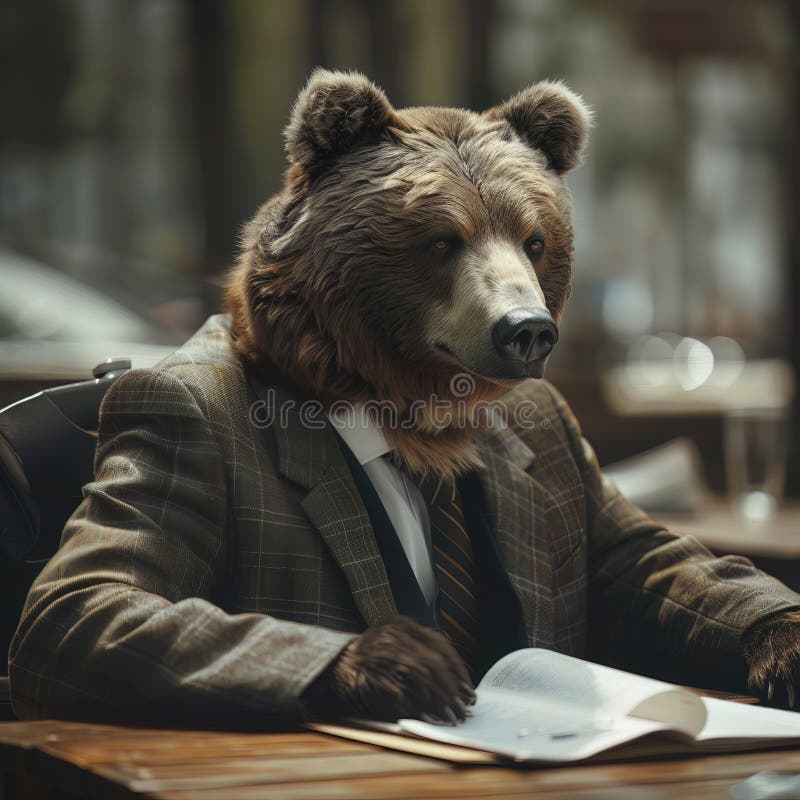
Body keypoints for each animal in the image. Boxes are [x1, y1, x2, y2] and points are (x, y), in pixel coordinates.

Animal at [8, 69, 800, 726]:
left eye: (535, 239)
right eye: (442, 239)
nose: (527, 329)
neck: (408, 405)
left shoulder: (560, 455)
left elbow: (659, 558)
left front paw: (785, 649)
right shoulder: (175, 435)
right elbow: (92, 594)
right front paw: (406, 663)